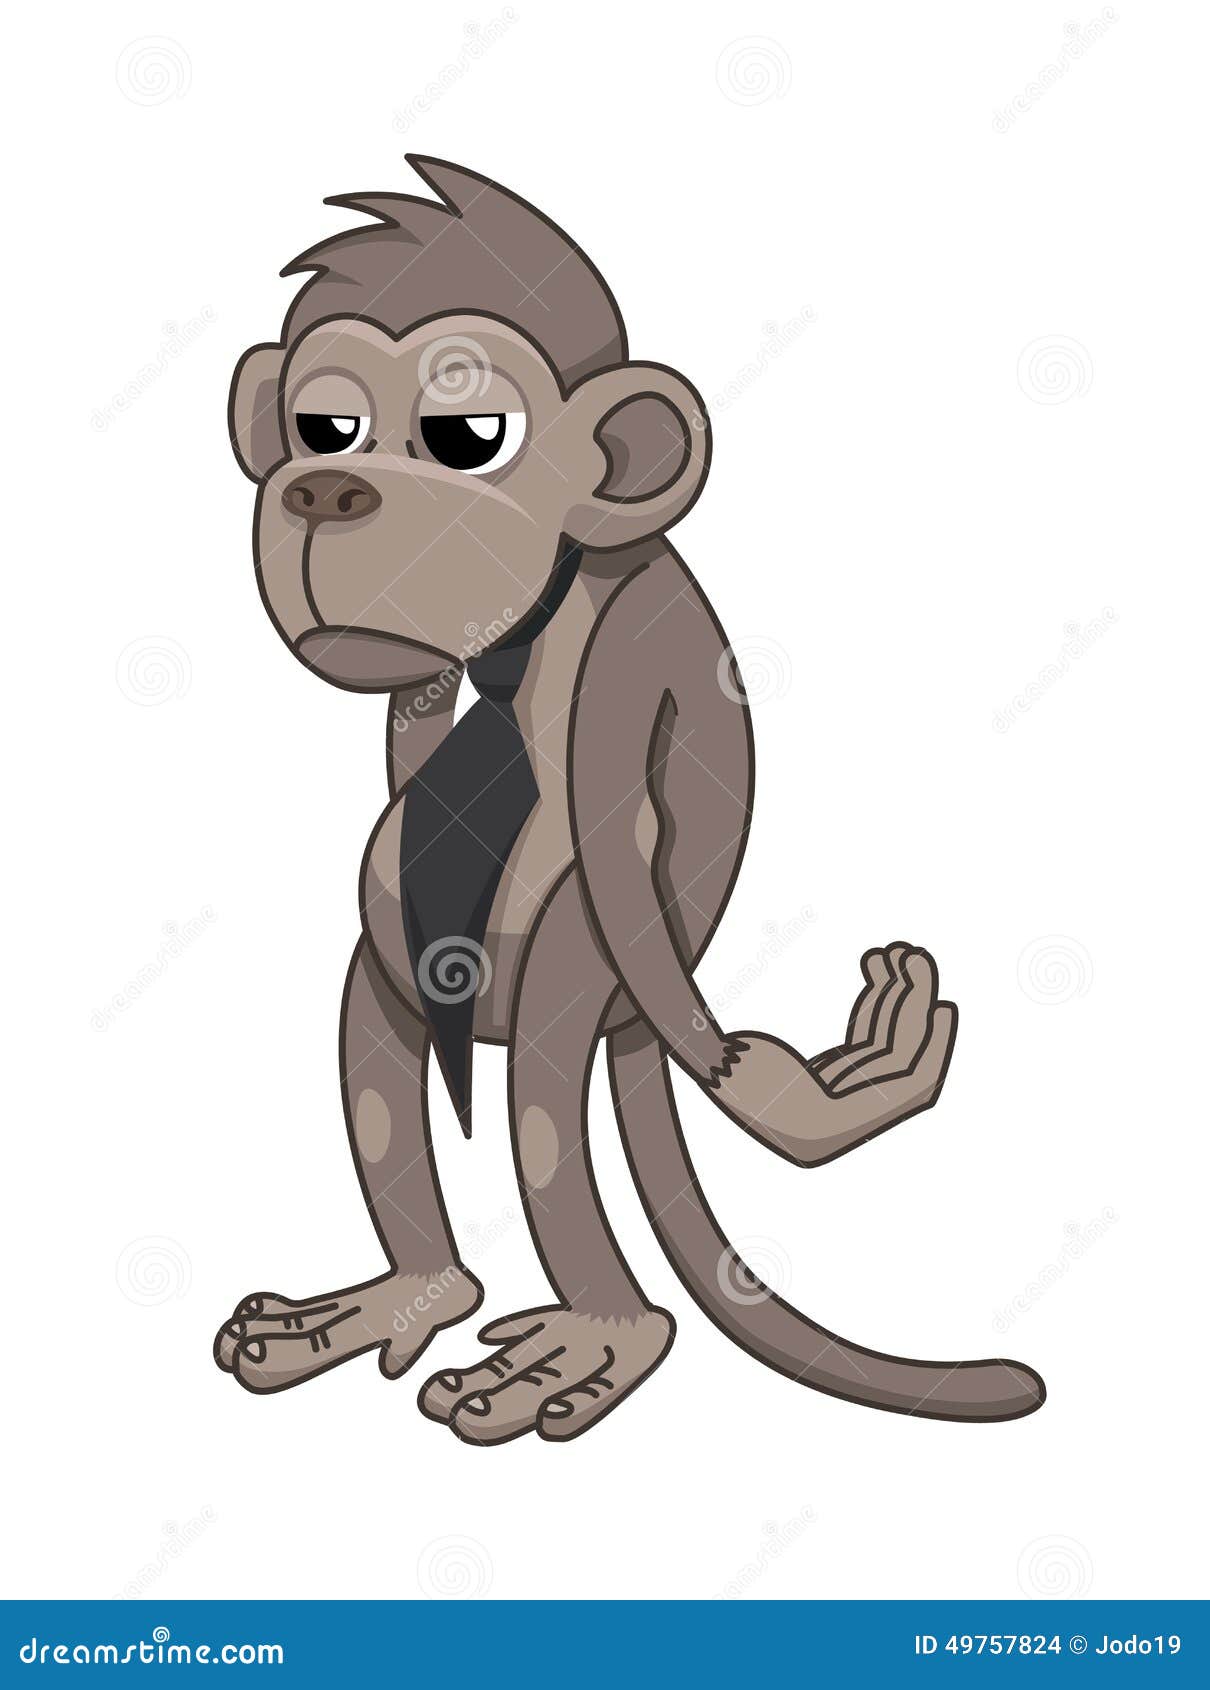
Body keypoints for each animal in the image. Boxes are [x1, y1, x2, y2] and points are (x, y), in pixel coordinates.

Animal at [216, 157, 1045, 1442]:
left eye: (468, 436)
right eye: (324, 424)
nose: (327, 490)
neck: (537, 619)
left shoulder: (629, 653)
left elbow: (614, 829)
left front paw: (780, 1092)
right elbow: (406, 782)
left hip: (582, 971)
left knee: (545, 1083)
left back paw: (602, 1335)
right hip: (428, 979)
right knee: (376, 1022)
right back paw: (409, 1292)